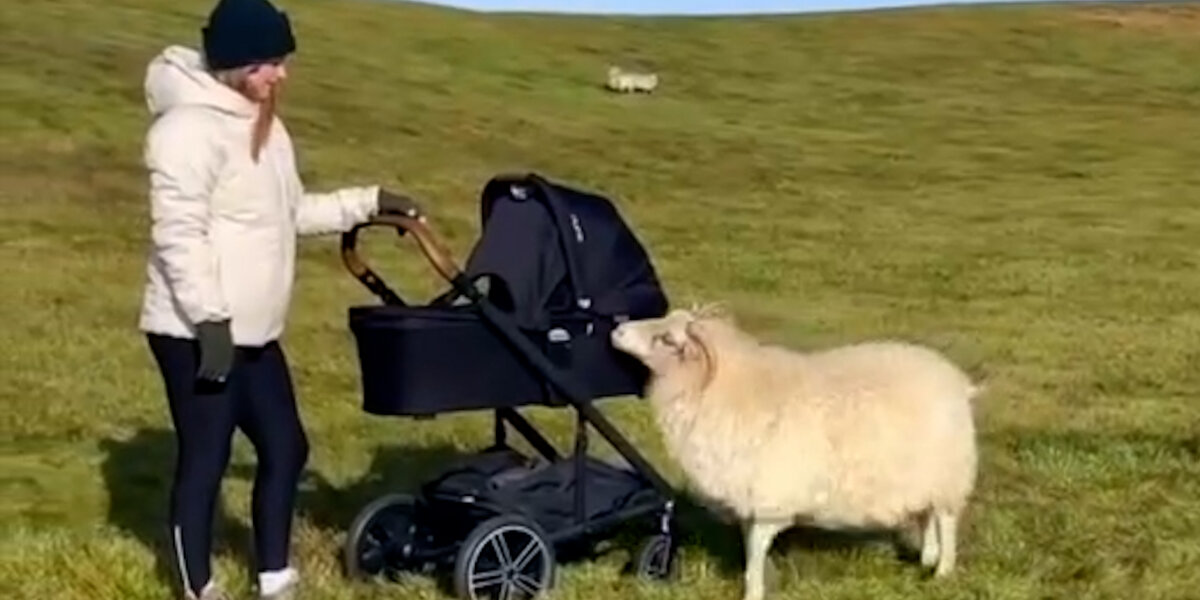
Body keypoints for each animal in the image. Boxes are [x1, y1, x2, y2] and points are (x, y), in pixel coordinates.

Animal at [610, 306, 980, 600]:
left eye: (667, 339)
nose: (618, 329)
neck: (727, 389)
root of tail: (958, 381)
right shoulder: (749, 495)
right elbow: (750, 545)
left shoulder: (770, 494)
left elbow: (757, 546)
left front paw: (753, 591)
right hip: (921, 472)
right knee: (928, 513)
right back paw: (928, 557)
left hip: (948, 467)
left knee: (945, 519)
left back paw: (942, 571)